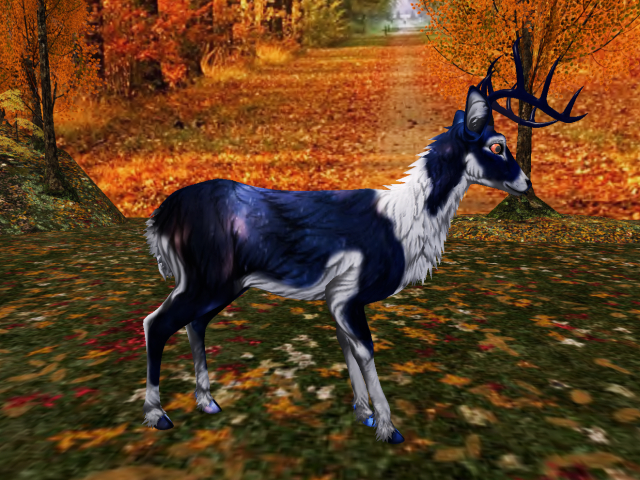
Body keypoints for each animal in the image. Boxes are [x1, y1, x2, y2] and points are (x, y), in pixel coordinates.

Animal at [141, 37, 586, 444]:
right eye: (497, 145)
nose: (527, 183)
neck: (406, 226)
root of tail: (161, 218)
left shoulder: (336, 297)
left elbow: (349, 350)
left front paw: (364, 413)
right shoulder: (348, 293)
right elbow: (367, 351)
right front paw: (388, 427)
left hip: (217, 282)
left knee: (193, 323)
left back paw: (206, 401)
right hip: (208, 275)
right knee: (156, 322)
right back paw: (158, 415)